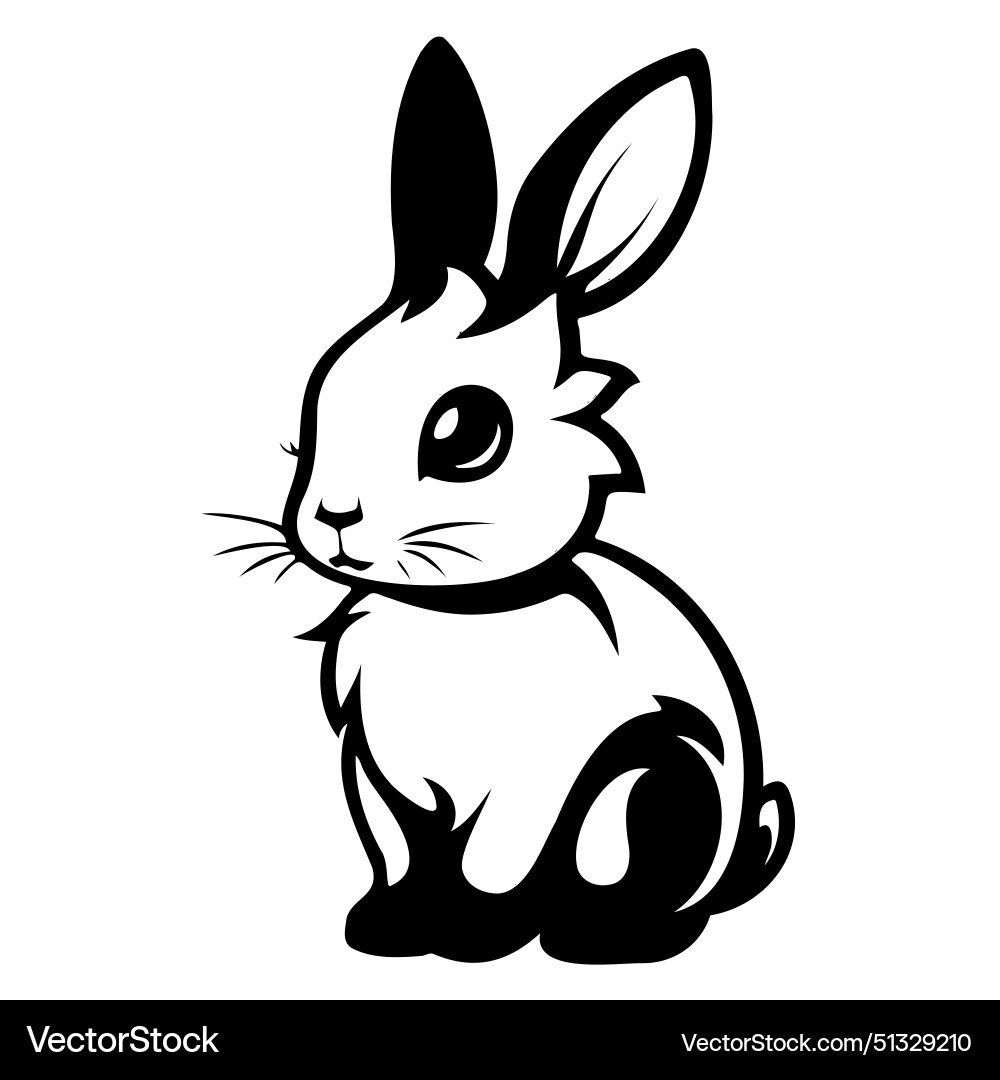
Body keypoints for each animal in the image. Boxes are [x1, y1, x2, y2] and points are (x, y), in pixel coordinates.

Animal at [211, 38, 793, 963]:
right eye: (320, 398)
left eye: (464, 433)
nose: (333, 521)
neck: (455, 611)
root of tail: (738, 862)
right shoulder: (377, 776)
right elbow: (396, 854)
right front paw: (388, 928)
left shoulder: (534, 781)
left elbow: (493, 865)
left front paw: (474, 936)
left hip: (657, 777)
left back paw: (598, 938)